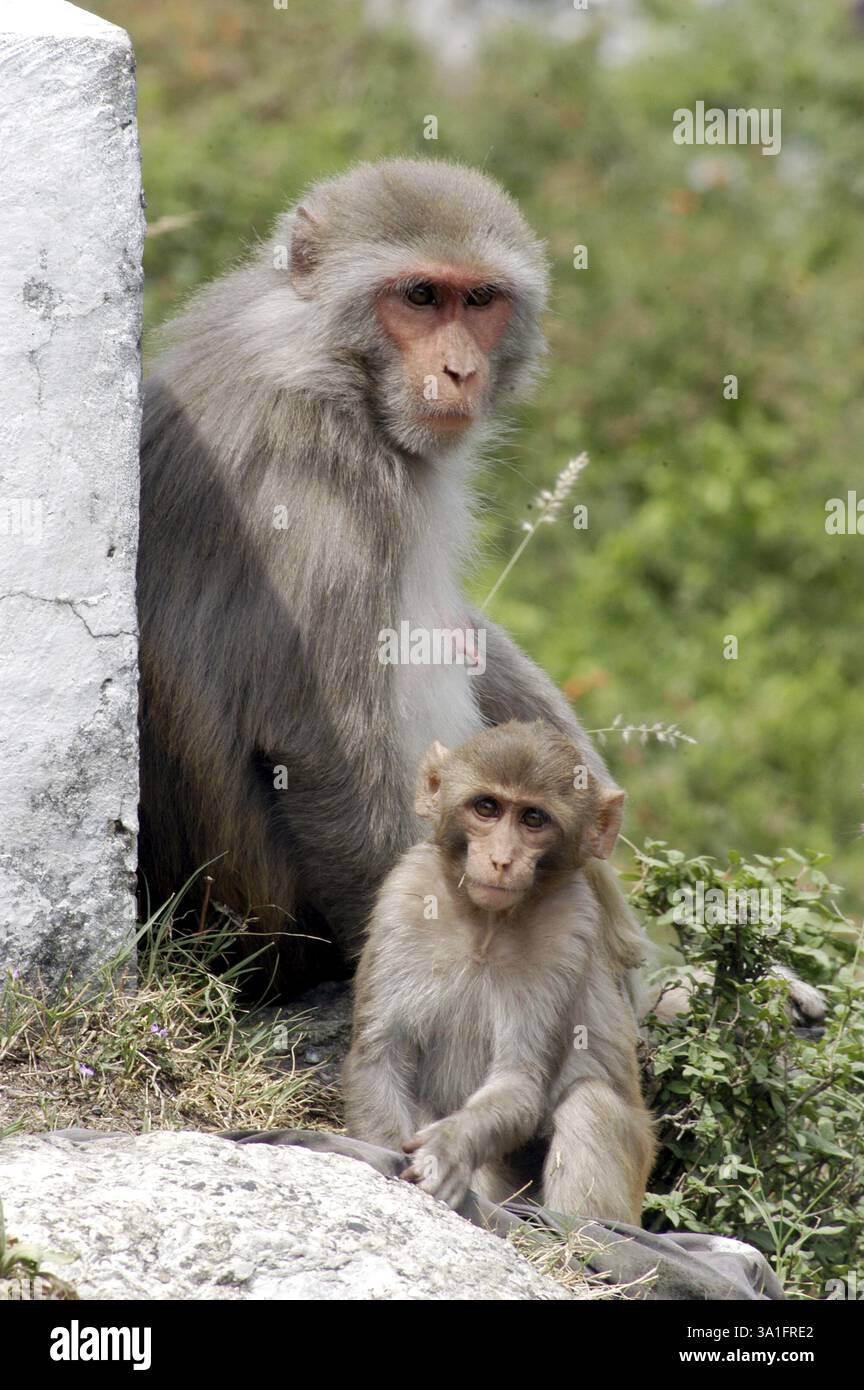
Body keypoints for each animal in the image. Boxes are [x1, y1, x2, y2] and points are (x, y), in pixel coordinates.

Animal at [137, 158, 642, 989]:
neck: (320, 359)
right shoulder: (313, 482)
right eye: (419, 296)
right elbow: (321, 748)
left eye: (479, 300)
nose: (459, 370)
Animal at [343, 720, 657, 1225]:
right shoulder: (403, 896)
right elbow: (380, 1054)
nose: (501, 860)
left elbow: (518, 1082)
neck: (486, 925)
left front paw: (450, 1149)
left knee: (589, 1103)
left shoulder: (571, 926)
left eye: (534, 819)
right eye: (487, 807)